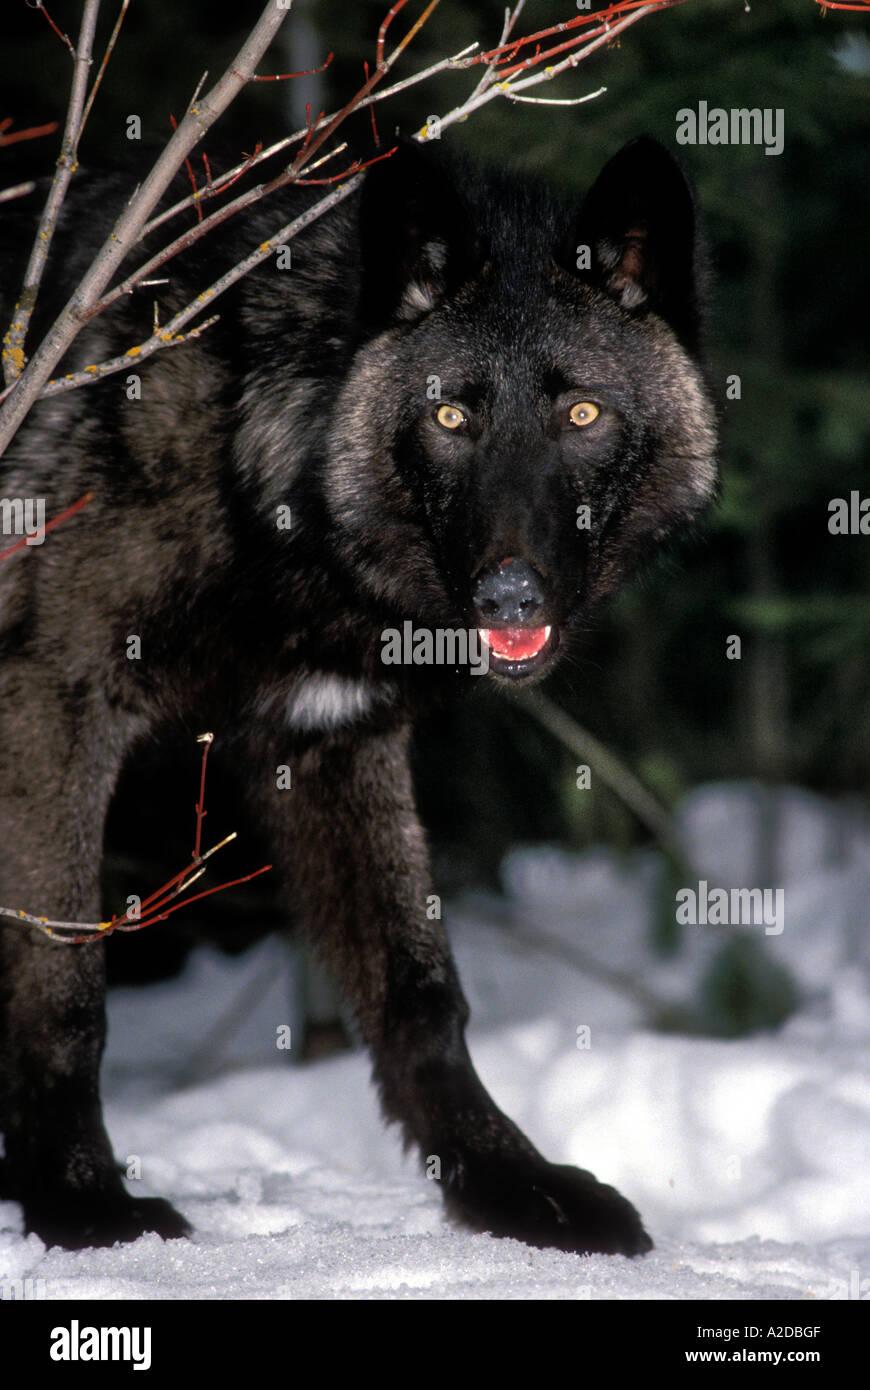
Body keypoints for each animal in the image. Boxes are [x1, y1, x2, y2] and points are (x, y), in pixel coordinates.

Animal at [0, 135, 716, 1256]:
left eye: (583, 413)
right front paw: (79, 1203)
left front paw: (507, 1184)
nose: (510, 595)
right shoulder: (51, 704)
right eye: (450, 414)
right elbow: (62, 983)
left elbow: (420, 993)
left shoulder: (332, 738)